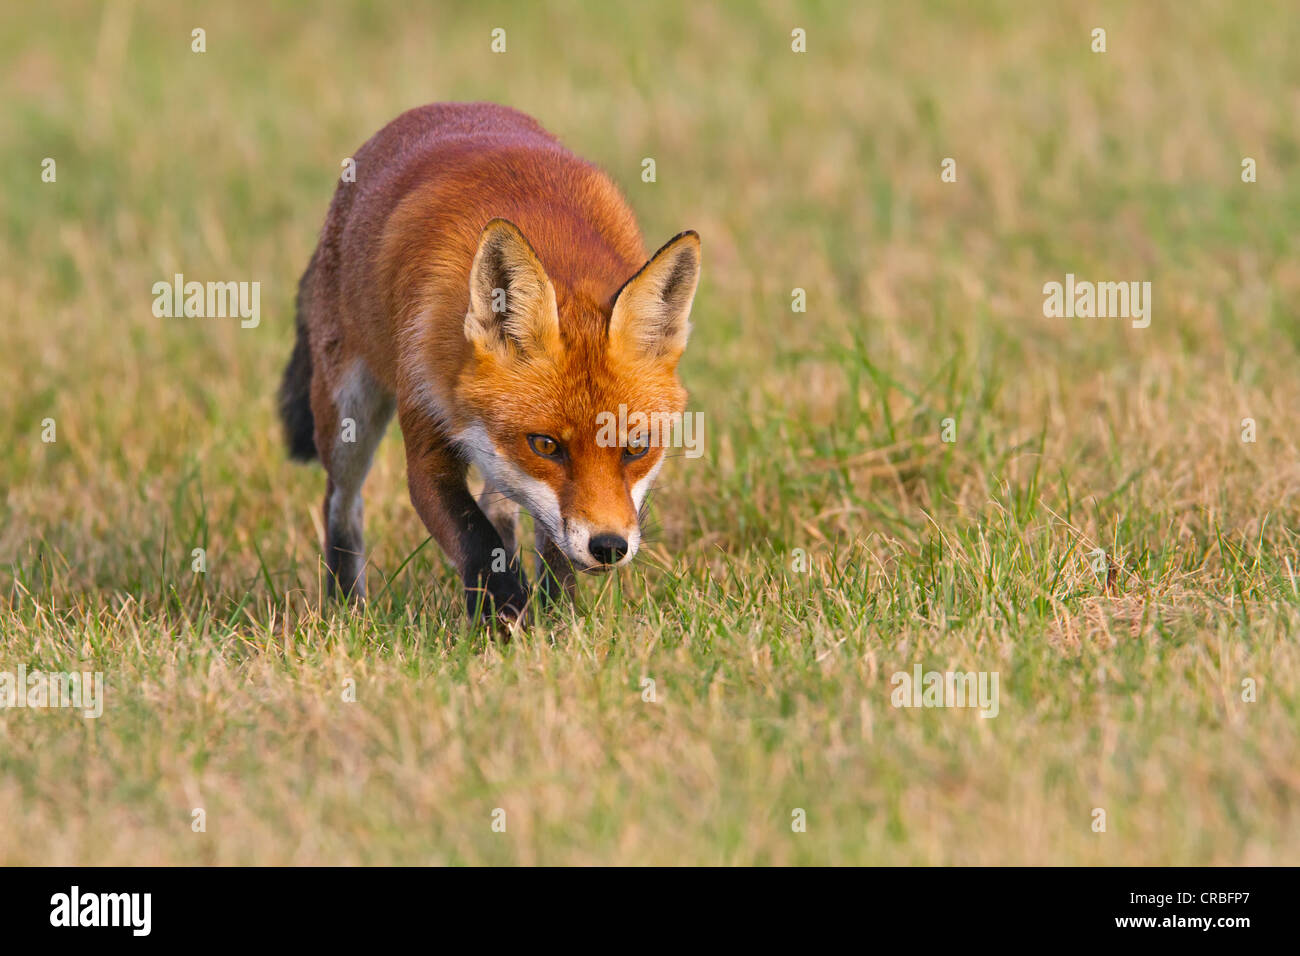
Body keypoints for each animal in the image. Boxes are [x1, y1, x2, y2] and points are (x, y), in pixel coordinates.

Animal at [277, 102, 701, 626]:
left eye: (637, 447)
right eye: (546, 445)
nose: (608, 547)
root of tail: (448, 107)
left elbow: (545, 548)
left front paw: (557, 623)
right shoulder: (426, 448)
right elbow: (476, 542)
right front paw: (508, 620)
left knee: (495, 507)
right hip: (347, 414)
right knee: (342, 508)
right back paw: (348, 610)